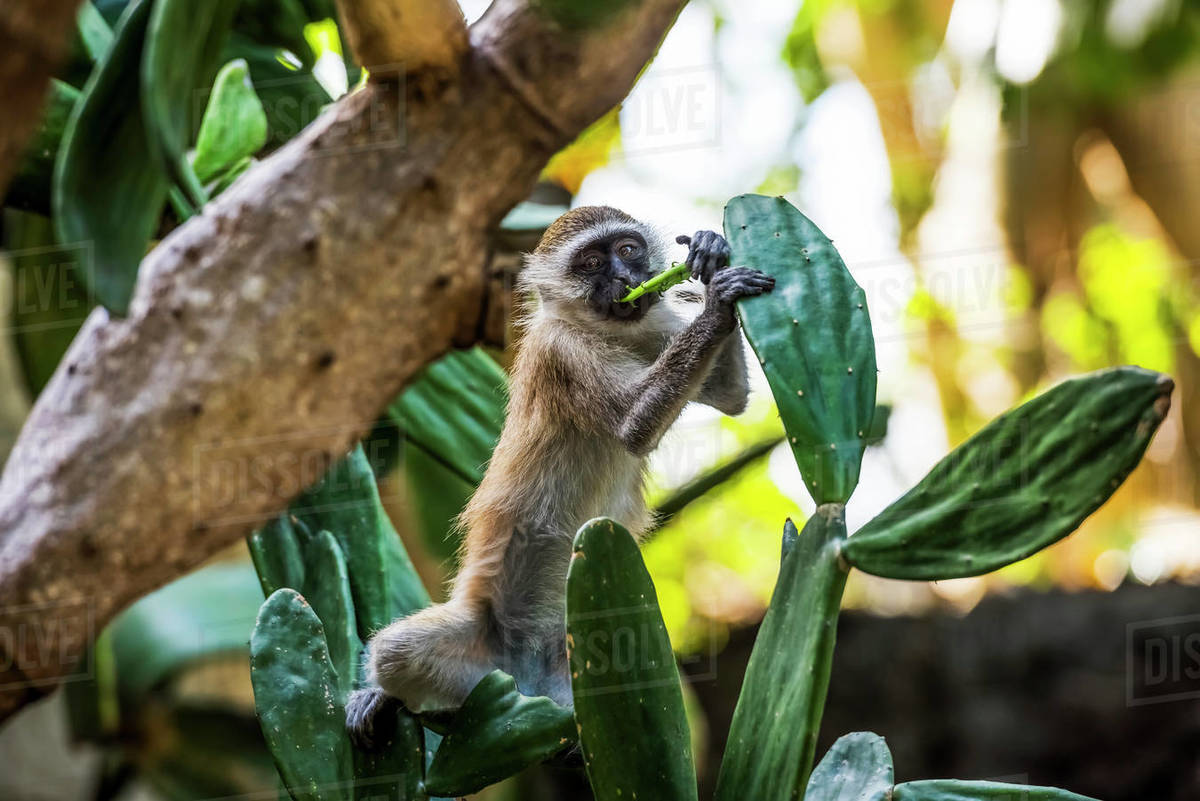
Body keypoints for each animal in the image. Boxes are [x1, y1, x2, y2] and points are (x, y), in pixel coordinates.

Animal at [346, 206, 774, 748]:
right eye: (591, 262)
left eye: (628, 250)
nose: (624, 277)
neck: (609, 334)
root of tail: (525, 673)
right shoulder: (561, 351)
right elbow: (633, 428)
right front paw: (718, 301)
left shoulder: (657, 324)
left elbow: (730, 396)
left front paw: (710, 253)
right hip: (481, 647)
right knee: (396, 652)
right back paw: (384, 697)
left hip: (578, 668)